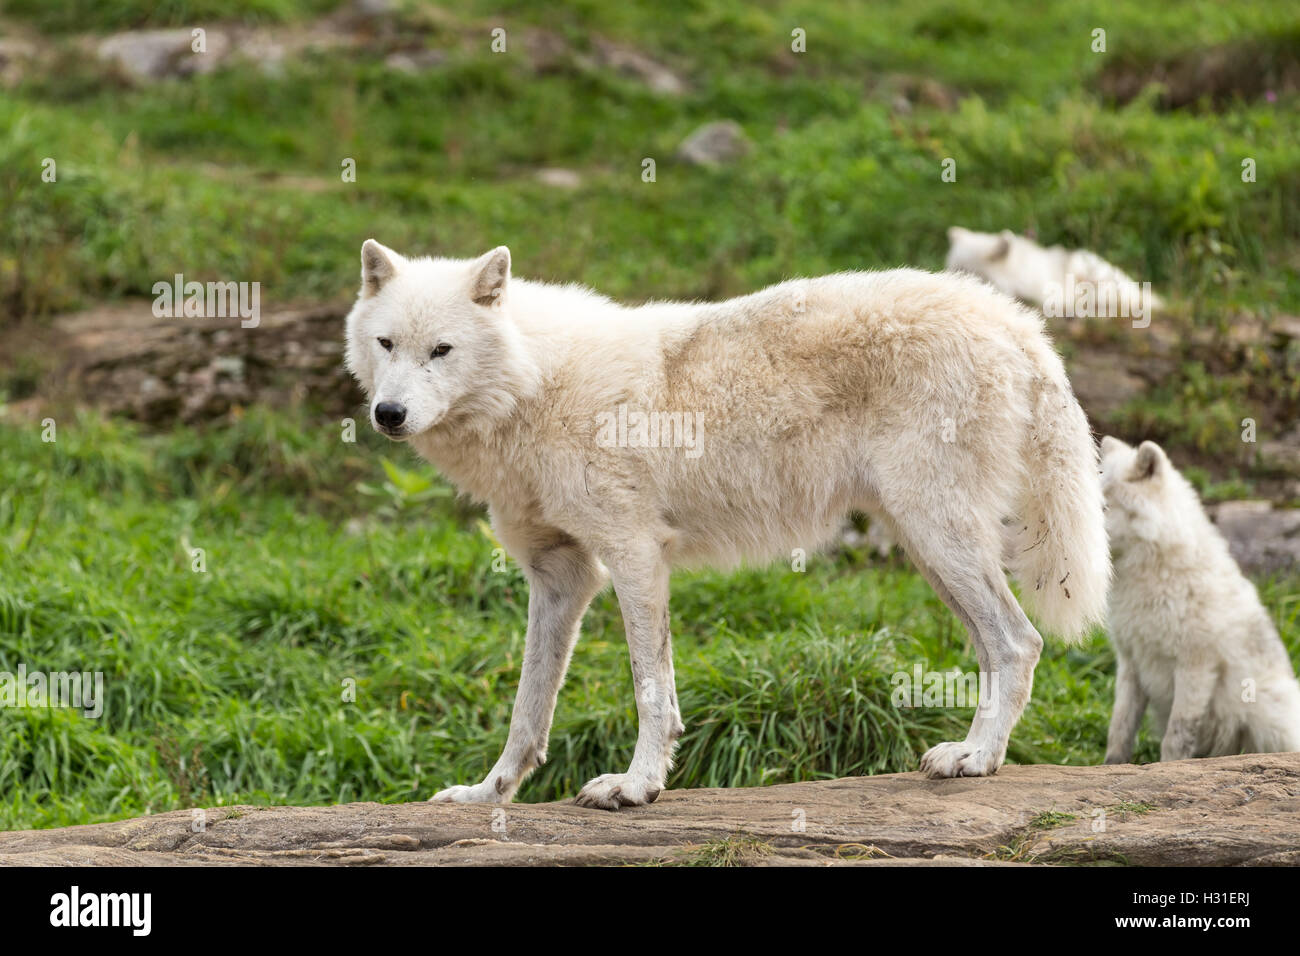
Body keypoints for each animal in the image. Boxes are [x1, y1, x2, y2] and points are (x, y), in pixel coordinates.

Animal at [344, 240, 1110, 808]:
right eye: (386, 344)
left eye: (441, 351)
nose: (389, 414)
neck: (534, 385)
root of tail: (1019, 323)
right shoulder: (561, 577)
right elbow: (528, 709)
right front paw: (489, 795)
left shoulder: (634, 556)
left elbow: (651, 690)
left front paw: (636, 786)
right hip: (928, 547)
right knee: (995, 648)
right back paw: (978, 754)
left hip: (938, 536)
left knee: (1019, 643)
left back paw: (976, 759)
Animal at [1100, 436, 1300, 762]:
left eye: (1104, 505)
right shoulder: (1131, 663)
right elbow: (1119, 729)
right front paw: (1111, 768)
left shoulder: (1195, 667)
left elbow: (1175, 737)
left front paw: (1169, 768)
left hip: (1266, 717)